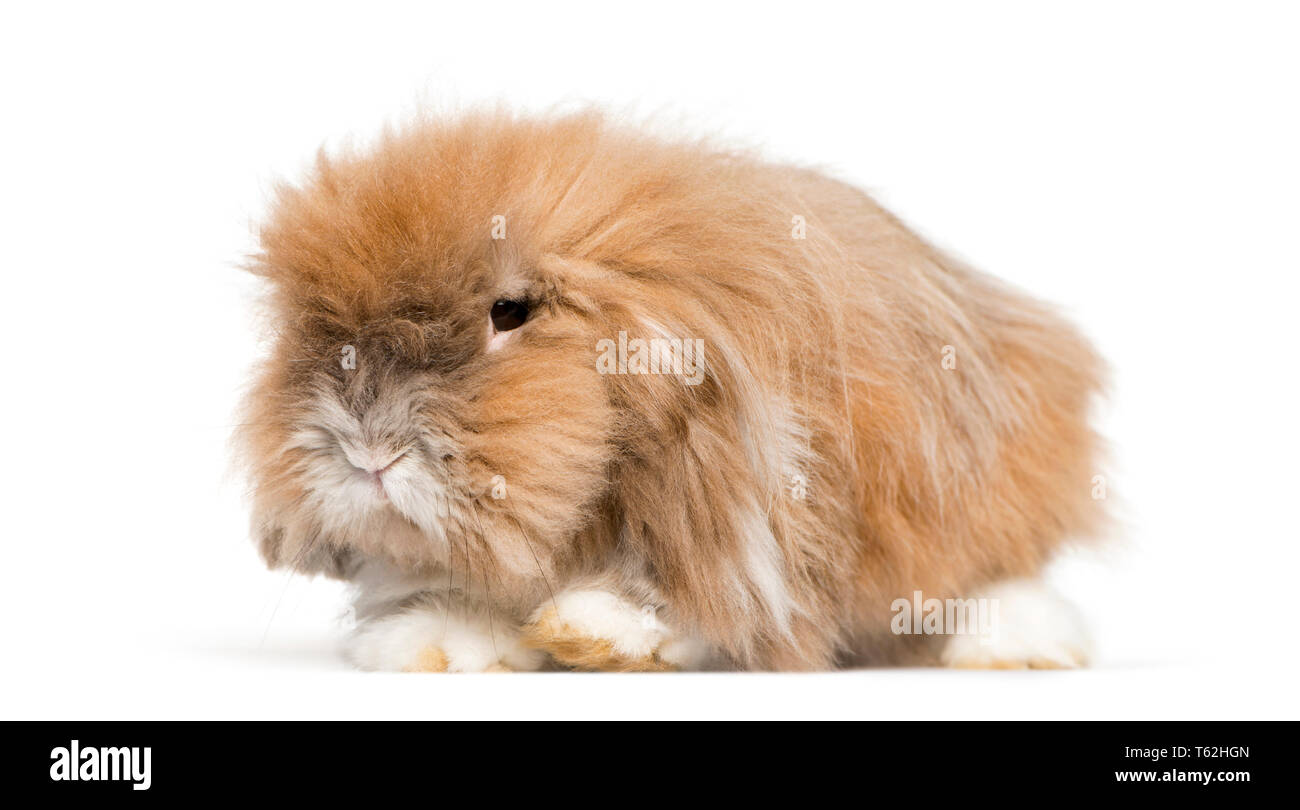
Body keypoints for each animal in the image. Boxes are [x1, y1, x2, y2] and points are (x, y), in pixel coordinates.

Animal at [237, 110, 1106, 672]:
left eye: (510, 312)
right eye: (314, 334)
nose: (367, 452)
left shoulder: (745, 510)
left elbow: (687, 599)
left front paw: (588, 635)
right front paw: (432, 645)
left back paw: (1015, 647)